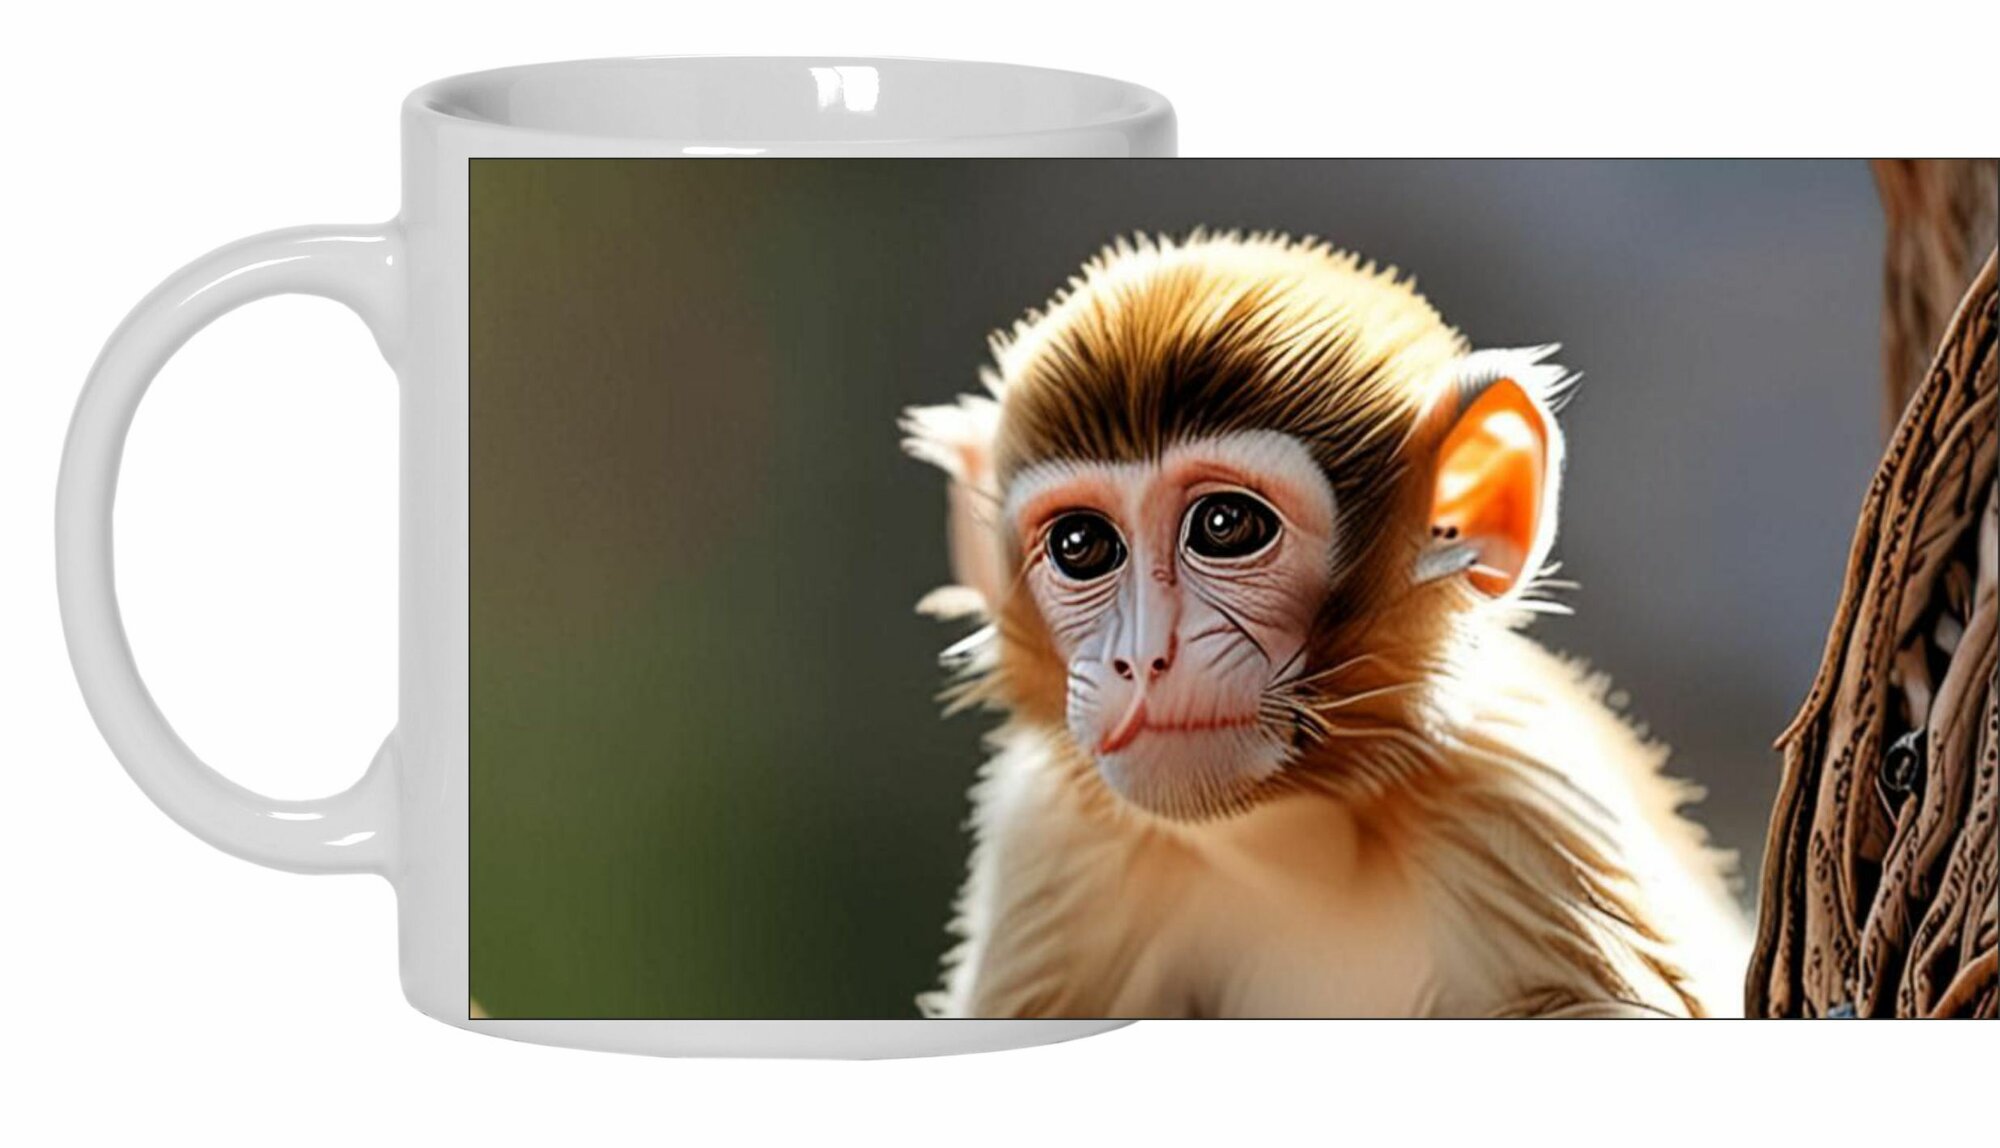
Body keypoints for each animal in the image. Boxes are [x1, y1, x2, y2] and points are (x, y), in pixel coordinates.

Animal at [901, 233, 1749, 1019]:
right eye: (1081, 545)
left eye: (1226, 525)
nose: (1140, 658)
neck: (1295, 844)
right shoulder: (1056, 853)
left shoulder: (1529, 812)